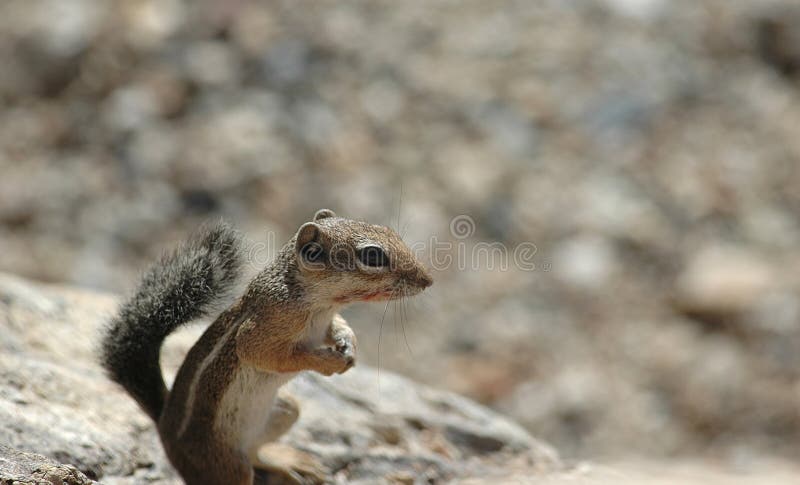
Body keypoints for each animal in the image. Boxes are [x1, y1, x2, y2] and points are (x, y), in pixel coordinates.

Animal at [99, 209, 433, 485]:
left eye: (389, 231)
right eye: (373, 256)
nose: (427, 280)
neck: (318, 302)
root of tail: (163, 424)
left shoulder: (325, 321)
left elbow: (338, 327)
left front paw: (348, 345)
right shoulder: (261, 329)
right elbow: (270, 354)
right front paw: (329, 362)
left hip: (285, 410)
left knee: (257, 452)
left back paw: (288, 462)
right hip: (224, 463)